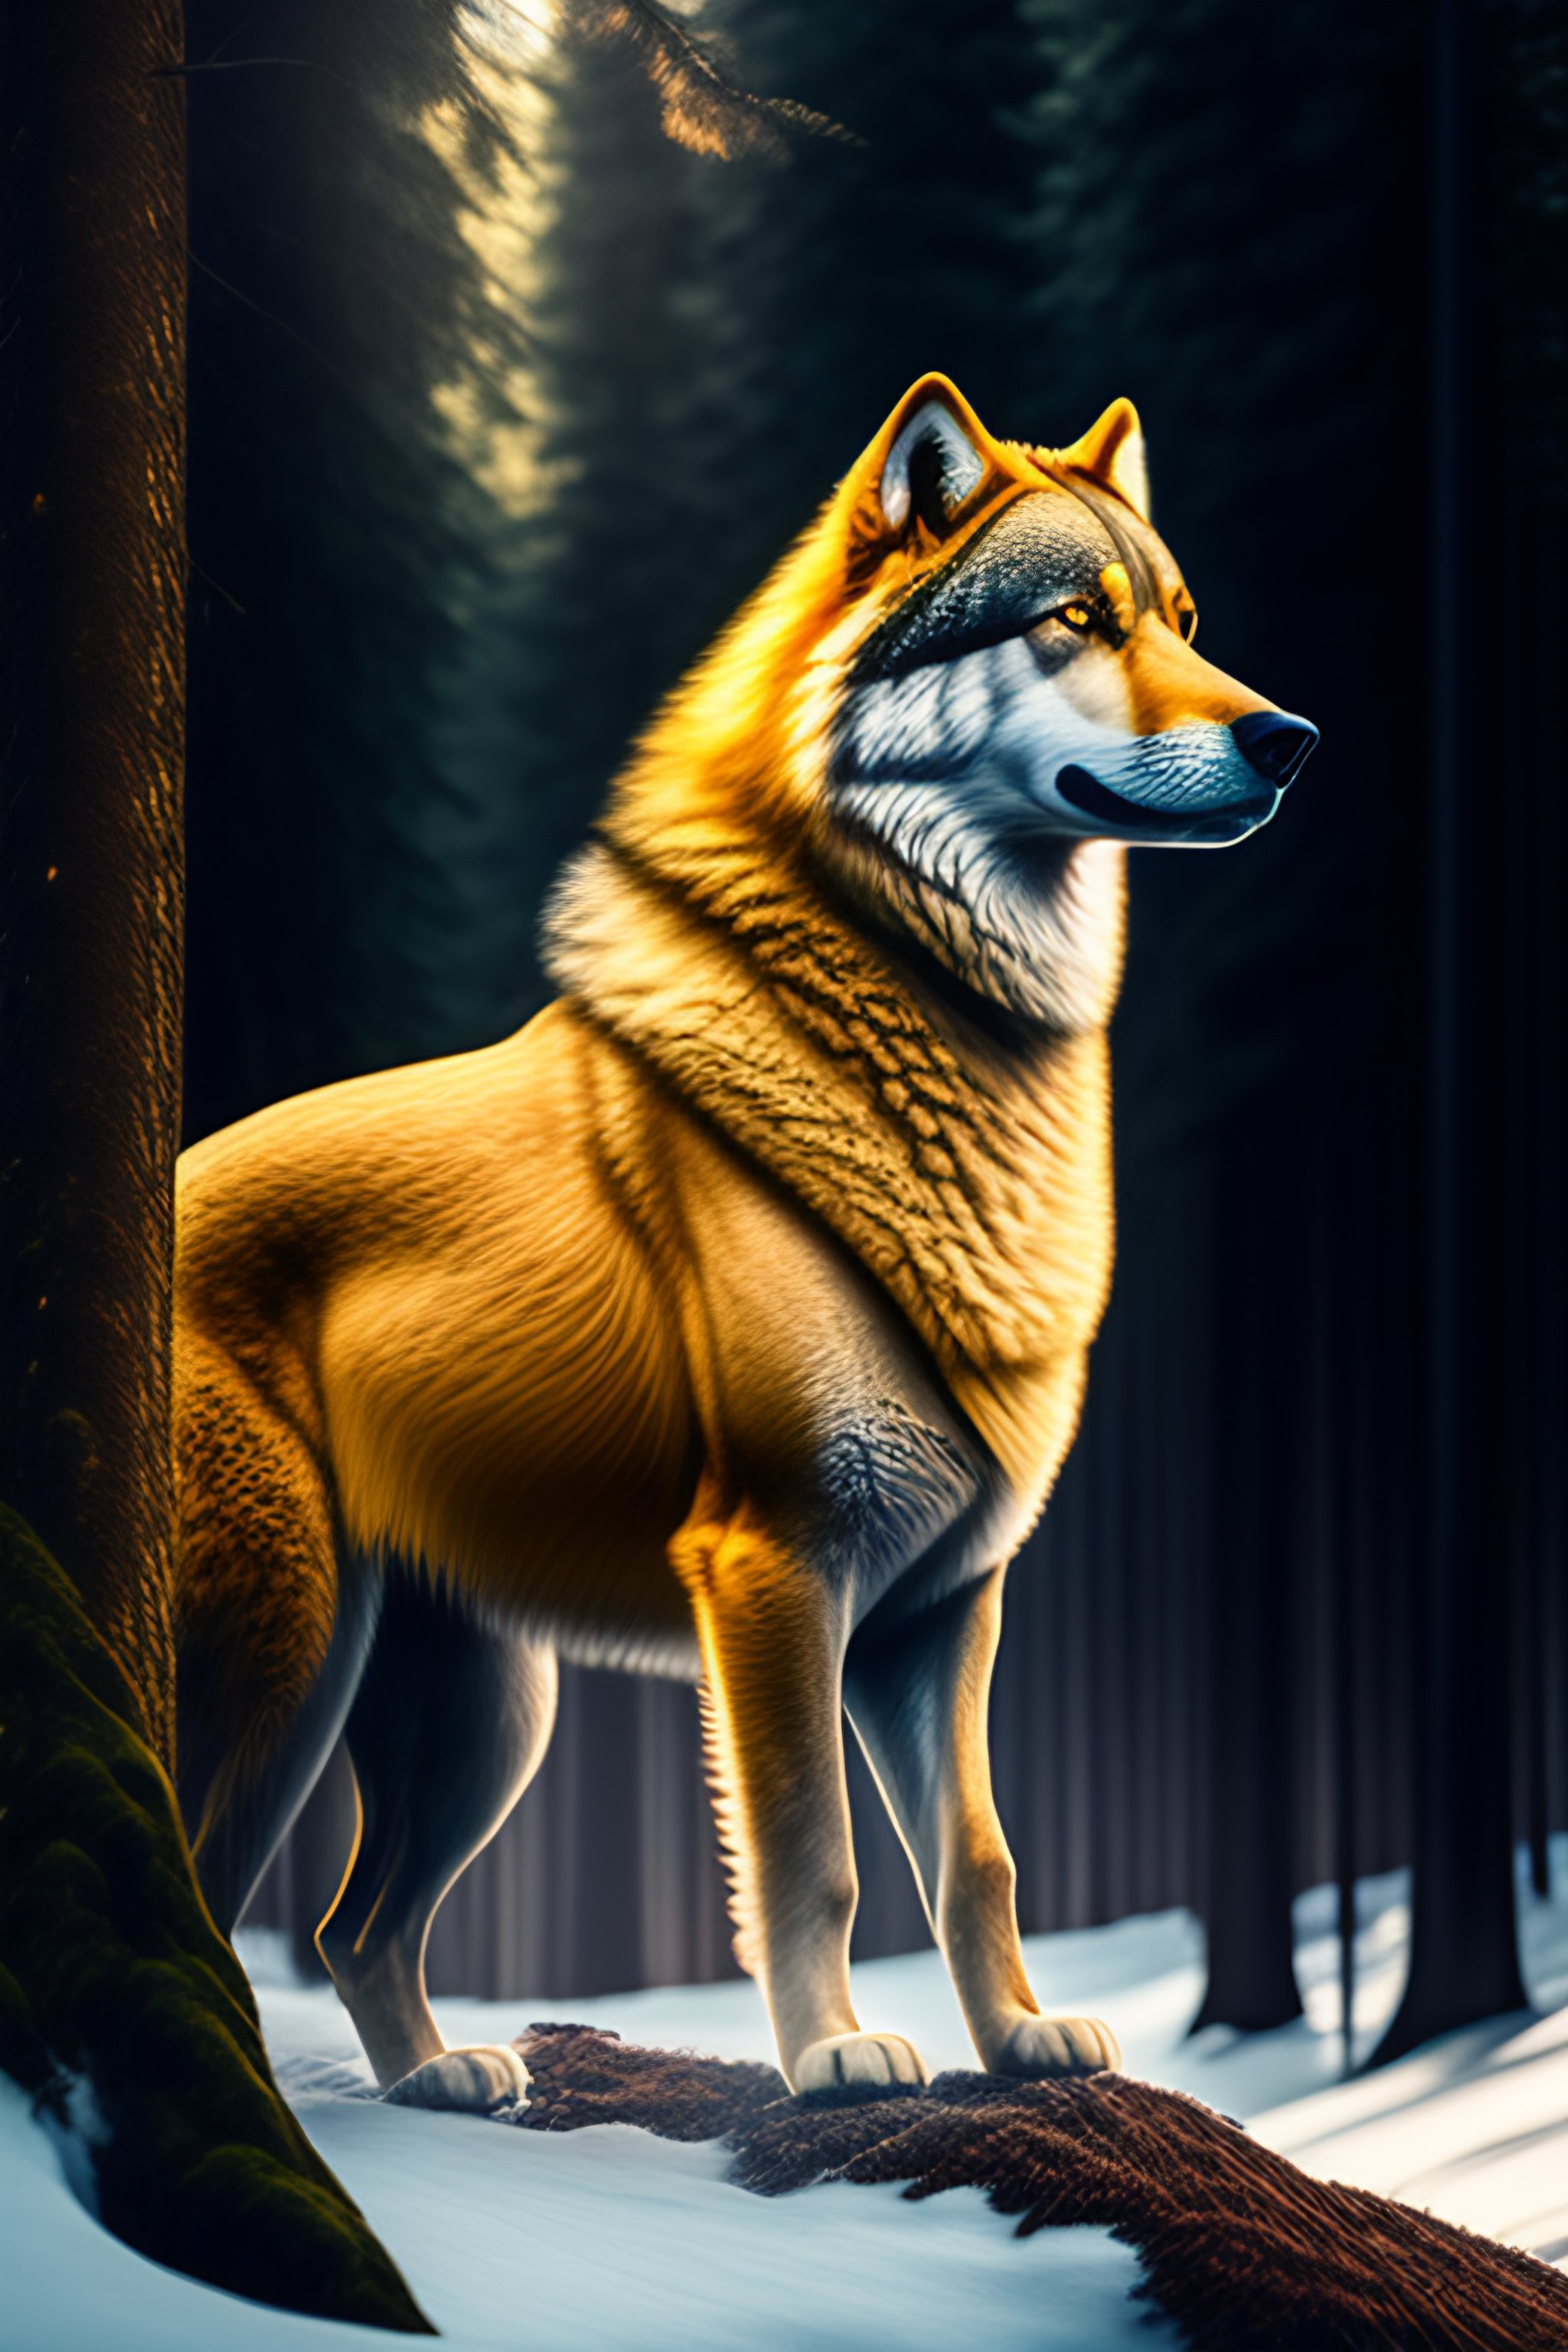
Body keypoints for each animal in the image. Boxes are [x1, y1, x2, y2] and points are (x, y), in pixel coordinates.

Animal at [173, 374, 1315, 2110]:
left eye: (1187, 621)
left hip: (489, 1711)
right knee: (200, 1883)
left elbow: (975, 1859)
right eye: (1076, 618)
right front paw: (835, 2054)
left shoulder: (943, 1610)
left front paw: (1018, 2043)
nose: (1290, 738)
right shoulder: (775, 1571)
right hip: (289, 1665)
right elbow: (813, 1856)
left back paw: (438, 2075)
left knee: (356, 1921)